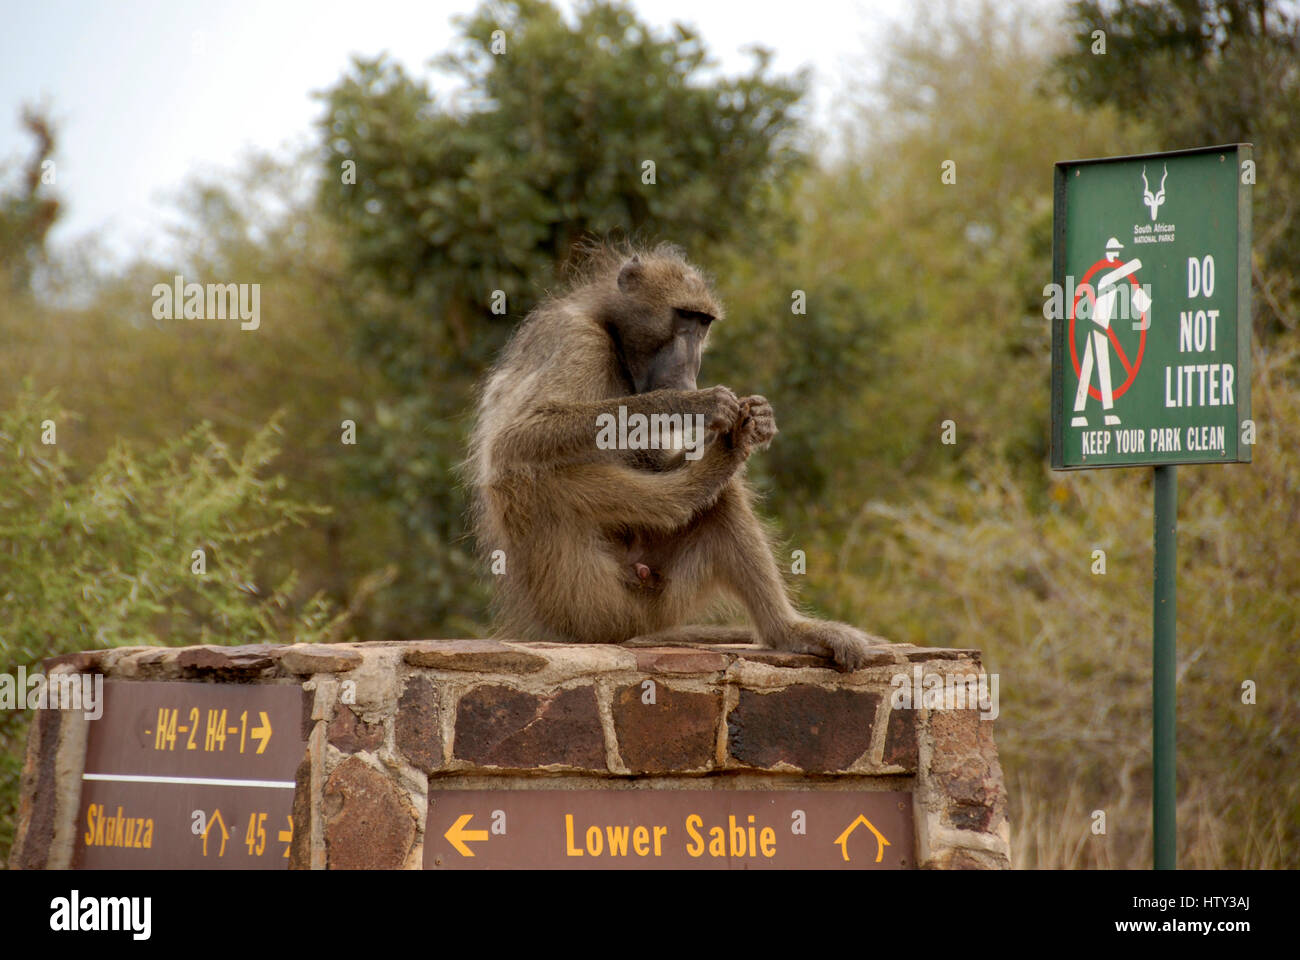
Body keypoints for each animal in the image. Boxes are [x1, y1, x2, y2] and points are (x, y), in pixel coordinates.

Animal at [466, 241, 881, 670]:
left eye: (703, 324)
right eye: (683, 316)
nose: (690, 368)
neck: (612, 333)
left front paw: (758, 417)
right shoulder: (576, 338)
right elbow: (516, 437)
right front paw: (688, 403)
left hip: (658, 594)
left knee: (721, 501)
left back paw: (788, 632)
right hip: (584, 593)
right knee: (533, 475)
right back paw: (706, 474)